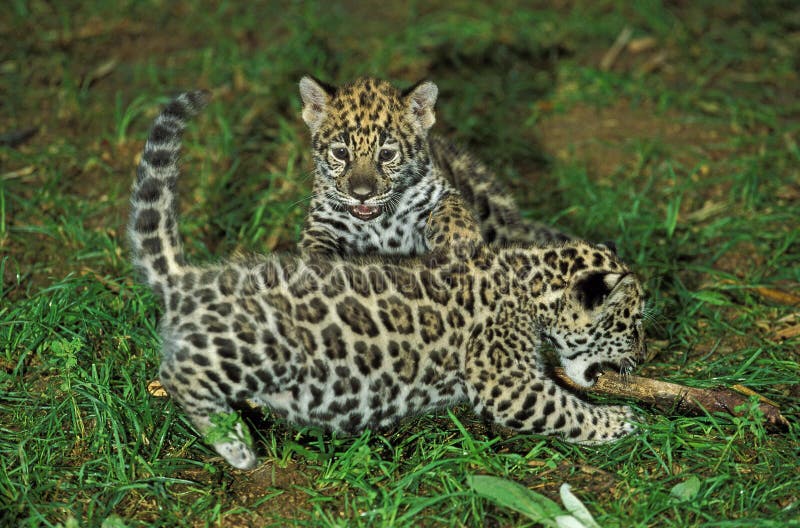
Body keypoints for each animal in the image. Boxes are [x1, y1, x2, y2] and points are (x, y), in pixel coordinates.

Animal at [297, 76, 568, 258]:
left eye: (387, 155)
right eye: (341, 153)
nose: (362, 195)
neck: (378, 223)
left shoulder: (440, 190)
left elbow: (453, 205)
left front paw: (457, 240)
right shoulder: (323, 223)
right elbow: (314, 252)